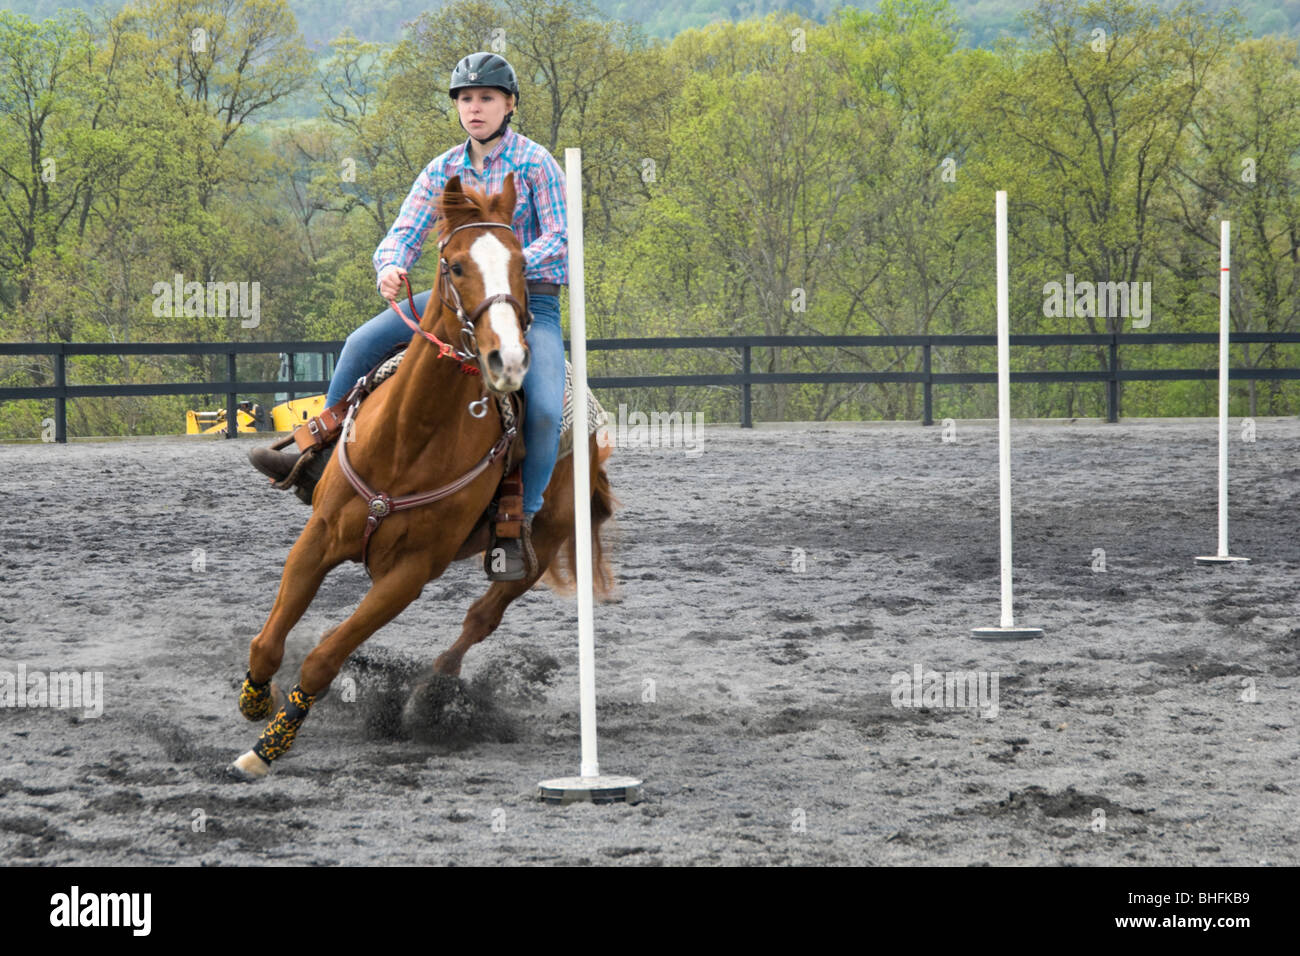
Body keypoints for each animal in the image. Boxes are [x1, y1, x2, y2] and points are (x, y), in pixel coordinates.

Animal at [230, 173, 615, 780]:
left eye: (519, 264)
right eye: (454, 265)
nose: (506, 359)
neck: (409, 440)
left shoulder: (406, 576)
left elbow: (324, 657)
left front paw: (268, 747)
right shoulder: (317, 538)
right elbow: (269, 640)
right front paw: (254, 698)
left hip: (541, 547)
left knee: (481, 618)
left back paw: (430, 694)